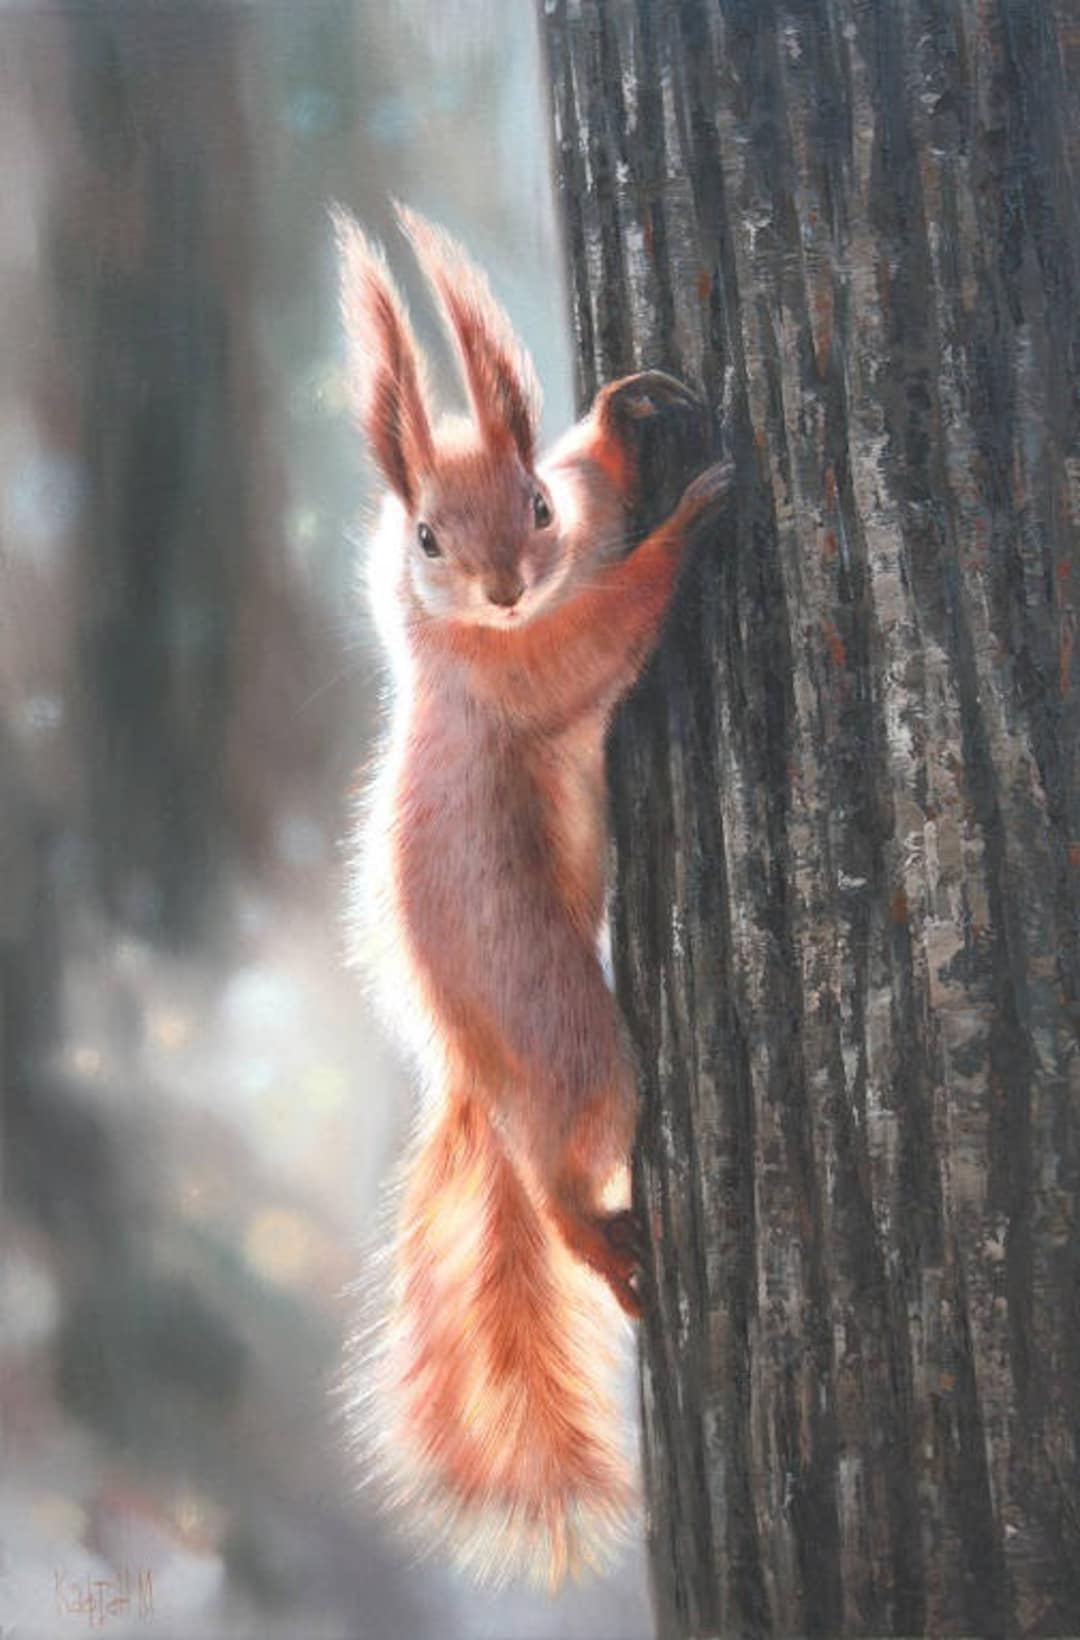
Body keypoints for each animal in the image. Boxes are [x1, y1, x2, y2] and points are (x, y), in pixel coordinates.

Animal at [334, 202, 731, 1588]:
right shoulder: (515, 673)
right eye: (426, 538)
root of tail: (472, 1069)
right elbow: (598, 639)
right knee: (563, 1182)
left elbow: (604, 525)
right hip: (573, 1035)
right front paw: (691, 527)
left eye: (539, 502)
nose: (506, 584)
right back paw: (607, 1247)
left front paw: (623, 417)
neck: (468, 634)